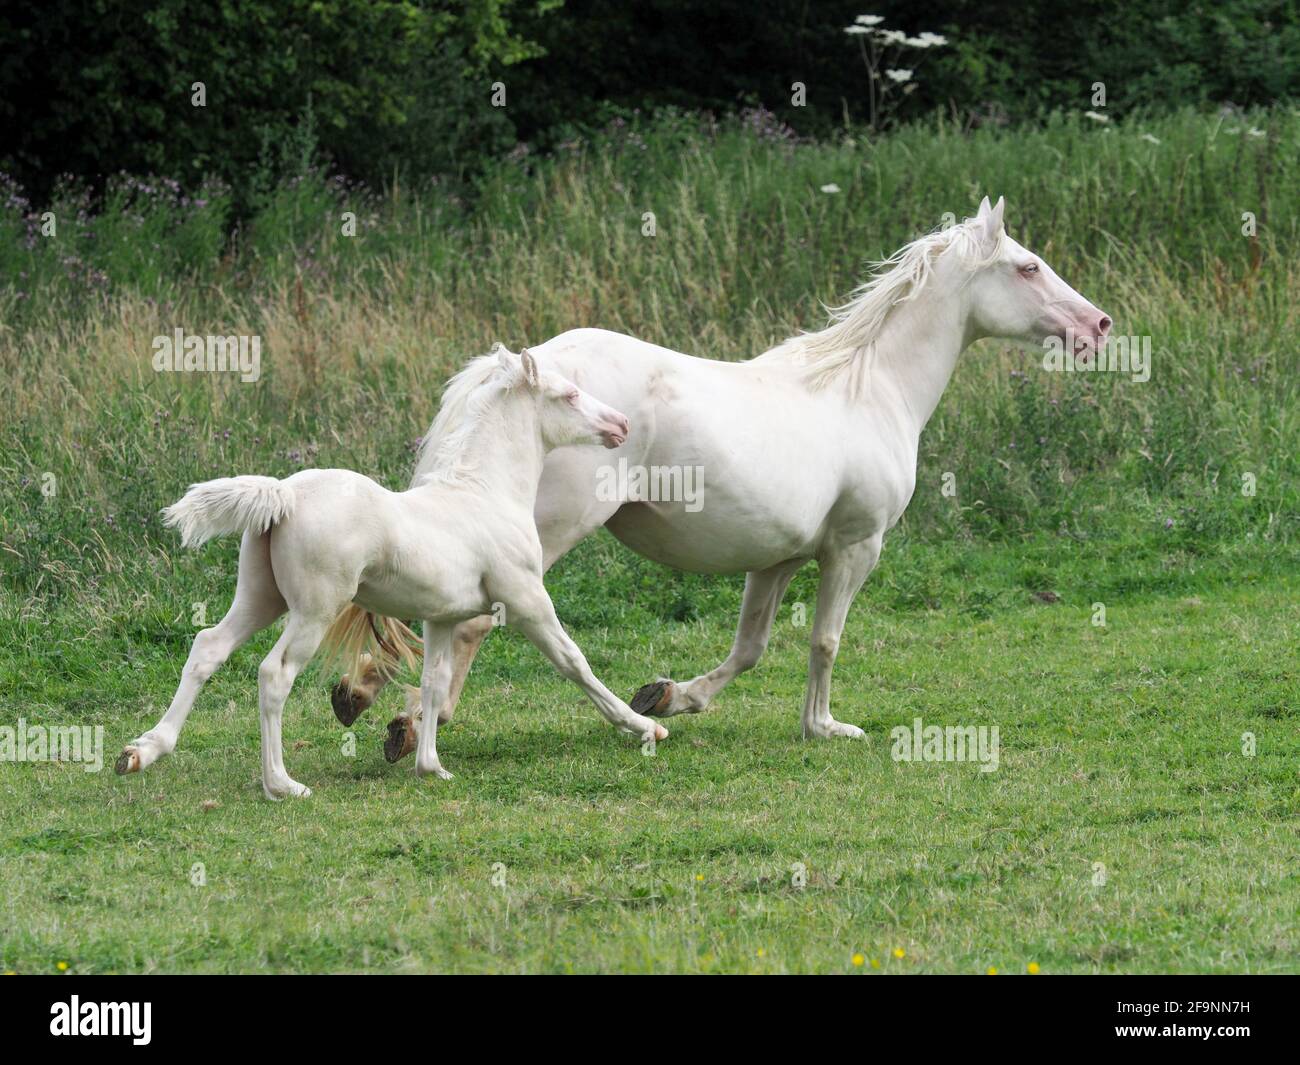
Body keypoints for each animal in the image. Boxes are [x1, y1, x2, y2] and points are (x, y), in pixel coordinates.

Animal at [115, 346, 669, 799]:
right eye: (569, 394)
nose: (620, 424)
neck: (484, 494)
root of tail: (284, 493)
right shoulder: (525, 600)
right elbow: (574, 662)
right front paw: (643, 727)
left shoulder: (441, 617)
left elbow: (433, 681)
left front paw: (430, 766)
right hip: (313, 611)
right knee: (274, 674)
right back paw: (282, 784)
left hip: (260, 597)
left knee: (207, 647)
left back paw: (143, 751)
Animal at [342, 196, 1112, 757]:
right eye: (1028, 267)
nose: (1099, 326)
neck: (867, 390)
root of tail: (514, 371)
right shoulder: (855, 547)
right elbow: (825, 641)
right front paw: (824, 727)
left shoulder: (776, 560)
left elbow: (751, 648)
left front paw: (671, 695)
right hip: (541, 536)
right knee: (471, 624)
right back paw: (412, 720)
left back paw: (364, 694)